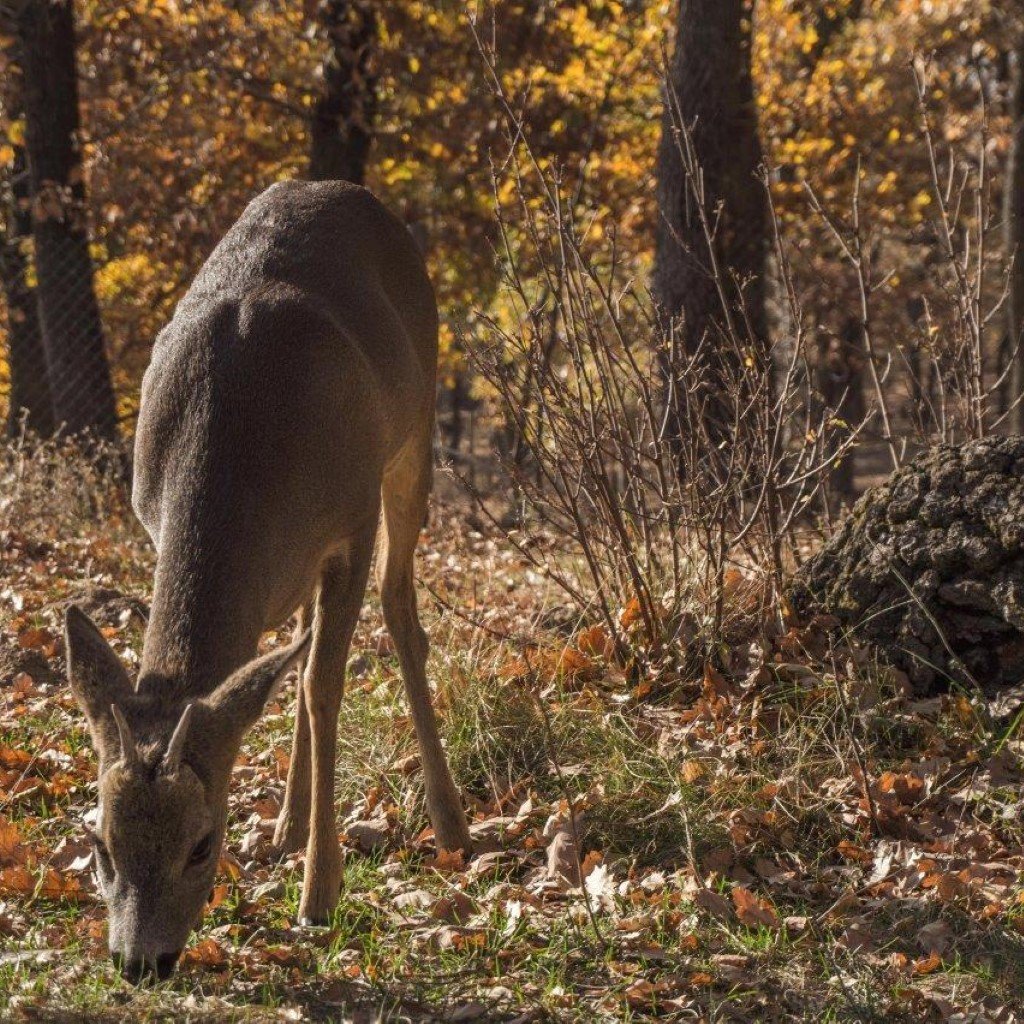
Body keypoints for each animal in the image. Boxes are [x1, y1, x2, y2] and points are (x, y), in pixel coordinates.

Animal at [63, 180, 473, 984]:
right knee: (298, 639)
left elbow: (321, 686)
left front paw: (320, 892)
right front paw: (300, 845)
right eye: (99, 844)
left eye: (203, 844)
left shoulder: (352, 517)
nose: (139, 961)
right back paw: (286, 823)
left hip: (414, 434)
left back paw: (448, 820)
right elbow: (287, 675)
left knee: (400, 609)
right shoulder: (156, 522)